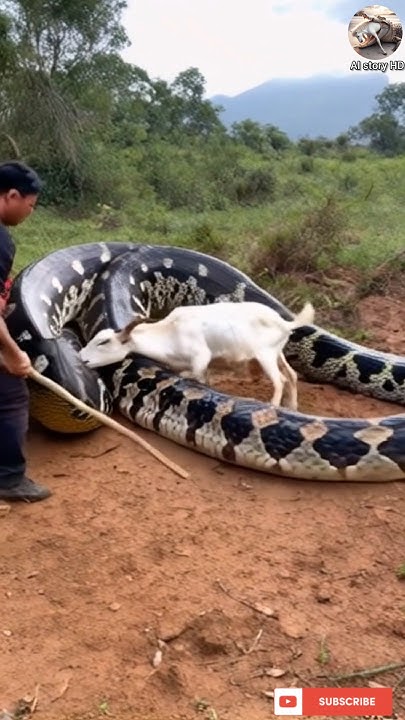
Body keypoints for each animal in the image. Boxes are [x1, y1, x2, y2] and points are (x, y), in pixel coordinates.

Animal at [79, 301, 315, 410]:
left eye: (104, 342)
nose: (82, 358)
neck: (169, 332)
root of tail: (285, 323)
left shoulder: (200, 358)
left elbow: (192, 375)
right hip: (277, 354)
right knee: (291, 375)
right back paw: (292, 406)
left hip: (264, 355)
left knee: (279, 380)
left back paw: (274, 405)